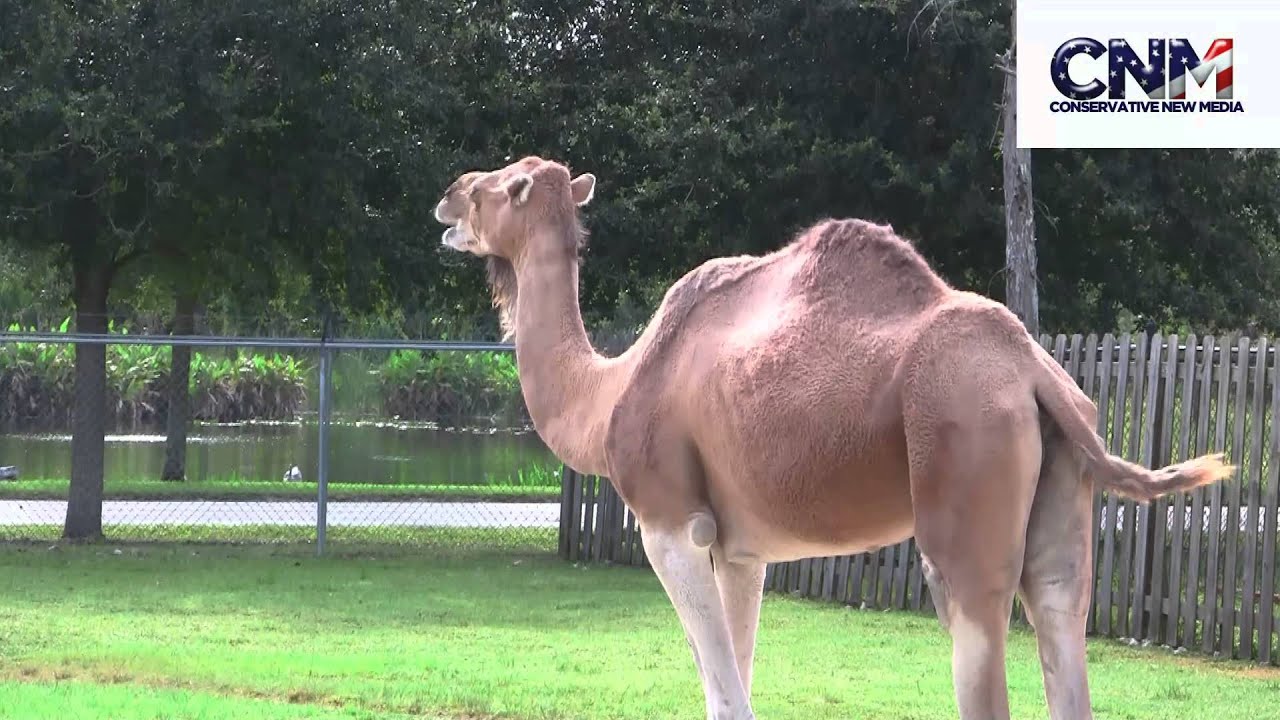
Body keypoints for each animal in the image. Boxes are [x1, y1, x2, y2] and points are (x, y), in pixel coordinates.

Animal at [432, 156, 1235, 720]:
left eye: (506, 184)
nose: (449, 193)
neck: (609, 395)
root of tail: (1036, 375)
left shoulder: (670, 521)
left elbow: (725, 692)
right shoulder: (741, 548)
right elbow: (737, 678)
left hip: (964, 479)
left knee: (980, 635)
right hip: (1065, 494)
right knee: (1062, 607)